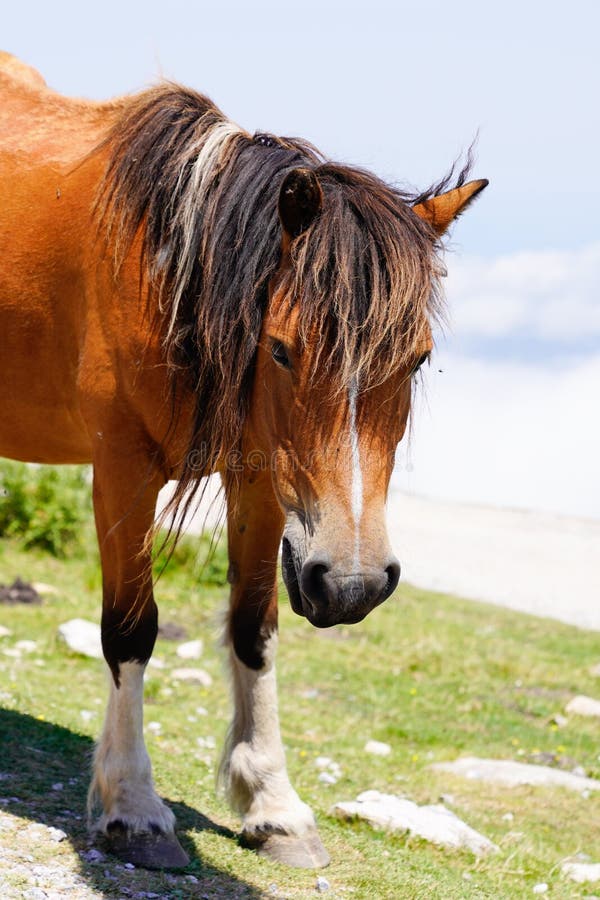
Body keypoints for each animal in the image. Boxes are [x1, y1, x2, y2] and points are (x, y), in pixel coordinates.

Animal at [0, 52, 487, 870]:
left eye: (417, 357)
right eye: (283, 349)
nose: (352, 584)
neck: (171, 270)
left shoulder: (259, 479)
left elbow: (254, 629)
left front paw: (273, 805)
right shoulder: (123, 470)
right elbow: (130, 628)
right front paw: (133, 807)